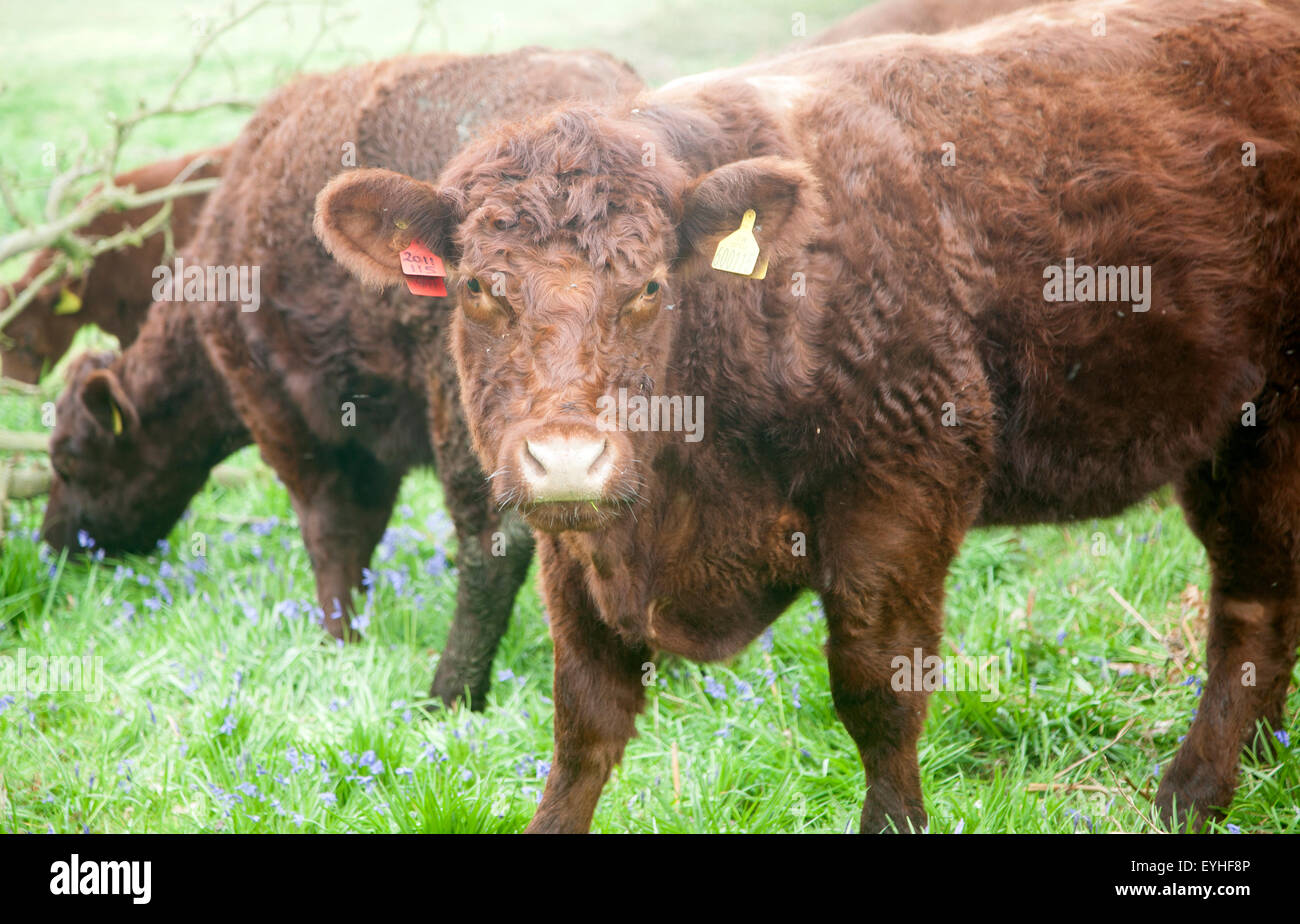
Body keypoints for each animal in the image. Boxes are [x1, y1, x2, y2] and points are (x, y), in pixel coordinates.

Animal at [42, 48, 644, 709]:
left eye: (68, 459)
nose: (52, 546)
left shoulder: (294, 423)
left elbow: (332, 535)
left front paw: (338, 640)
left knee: (494, 541)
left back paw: (449, 693)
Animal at [315, 0, 1300, 830]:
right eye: (480, 288)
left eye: (650, 286)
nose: (566, 457)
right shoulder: (576, 551)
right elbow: (583, 726)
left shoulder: (900, 498)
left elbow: (878, 697)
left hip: (1270, 428)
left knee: (1250, 605)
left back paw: (1192, 792)